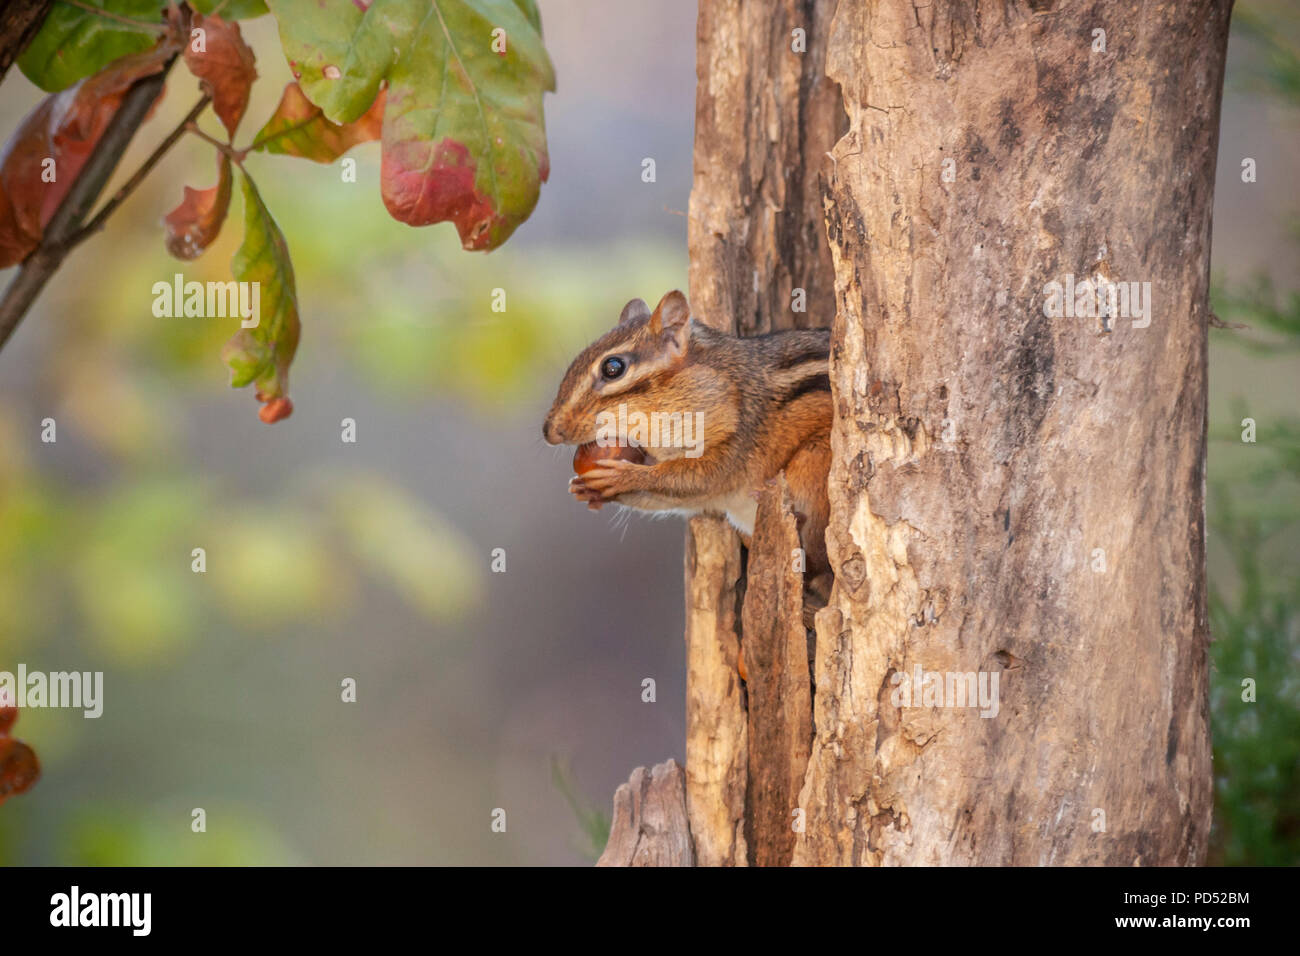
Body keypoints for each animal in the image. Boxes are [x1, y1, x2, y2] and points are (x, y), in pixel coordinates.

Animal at [542, 289, 832, 575]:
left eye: (612, 367)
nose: (549, 431)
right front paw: (586, 489)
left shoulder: (740, 433)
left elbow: (700, 476)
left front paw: (625, 476)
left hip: (814, 463)